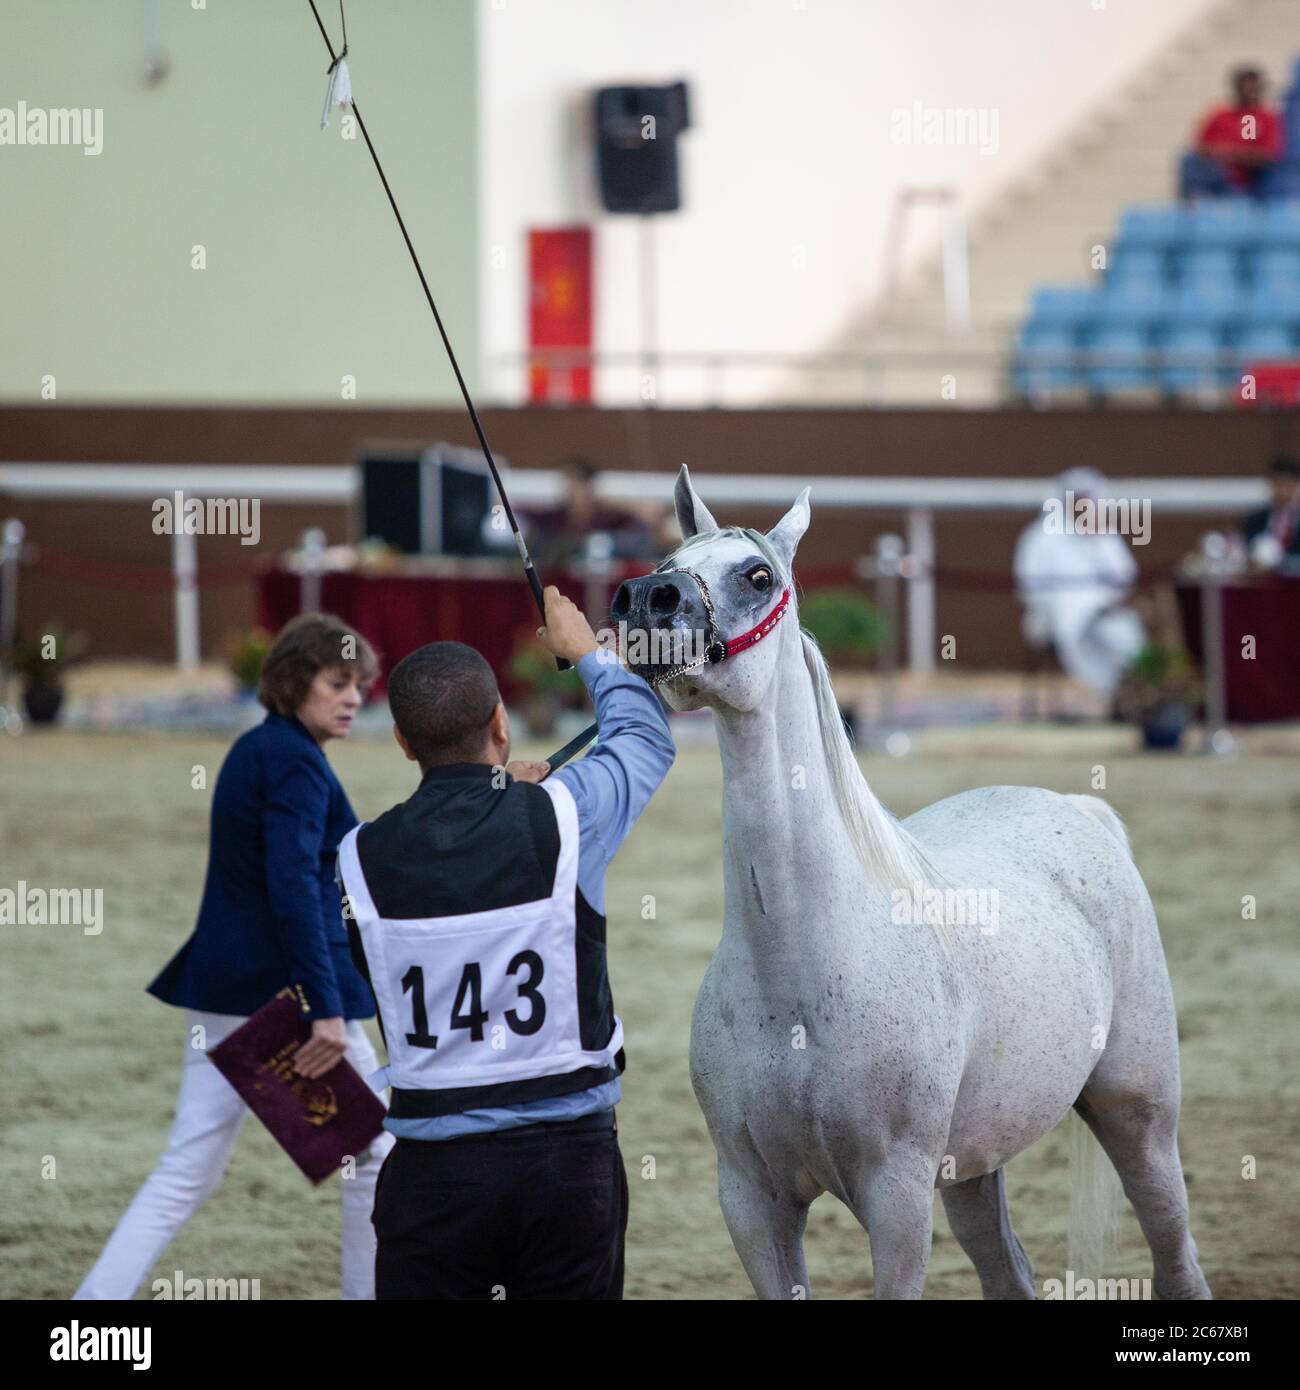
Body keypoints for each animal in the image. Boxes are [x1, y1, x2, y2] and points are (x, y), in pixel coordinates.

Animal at [609, 465, 1210, 1300]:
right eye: (669, 558)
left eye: (758, 575)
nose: (644, 600)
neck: (797, 971)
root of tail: (1078, 809)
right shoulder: (751, 1199)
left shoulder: (895, 1196)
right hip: (974, 1163)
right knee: (1007, 1268)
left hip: (1138, 1115)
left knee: (1176, 1252)